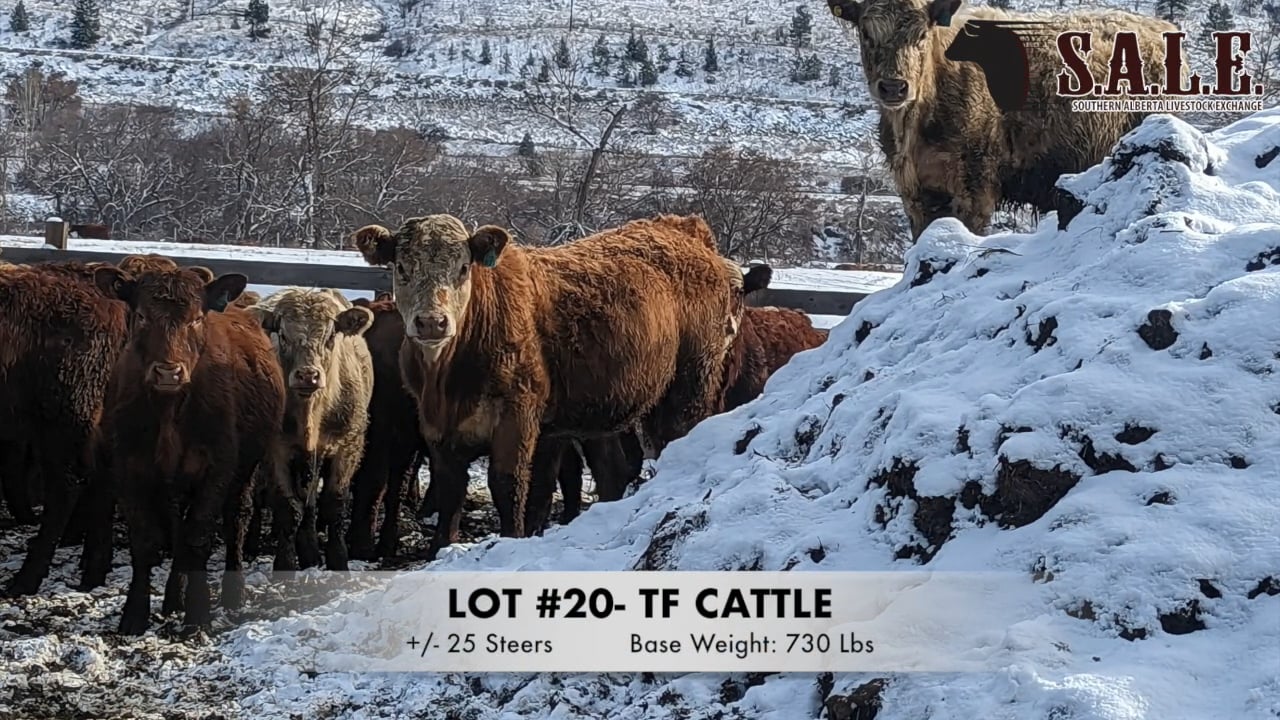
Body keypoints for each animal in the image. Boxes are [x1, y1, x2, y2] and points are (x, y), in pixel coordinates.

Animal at [93, 266, 284, 634]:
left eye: (196, 318)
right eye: (141, 316)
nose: (168, 371)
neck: (169, 410)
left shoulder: (217, 467)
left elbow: (198, 538)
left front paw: (199, 616)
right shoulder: (128, 467)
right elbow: (146, 540)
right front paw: (134, 615)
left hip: (245, 470)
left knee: (235, 520)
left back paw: (232, 595)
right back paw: (172, 599)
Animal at [246, 288, 374, 572]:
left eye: (330, 336)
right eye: (283, 335)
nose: (308, 375)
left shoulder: (348, 445)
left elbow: (333, 504)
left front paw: (338, 559)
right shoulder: (276, 452)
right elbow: (288, 508)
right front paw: (285, 564)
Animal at [352, 213, 753, 557]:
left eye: (463, 268)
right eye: (402, 268)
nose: (432, 322)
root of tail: (683, 228)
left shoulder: (517, 416)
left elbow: (509, 484)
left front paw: (510, 540)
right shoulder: (438, 427)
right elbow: (452, 489)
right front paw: (439, 549)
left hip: (688, 387)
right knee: (612, 470)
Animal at [826, 0, 1177, 239]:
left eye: (922, 34)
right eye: (866, 33)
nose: (894, 86)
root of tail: (1156, 26)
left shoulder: (975, 188)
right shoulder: (915, 192)